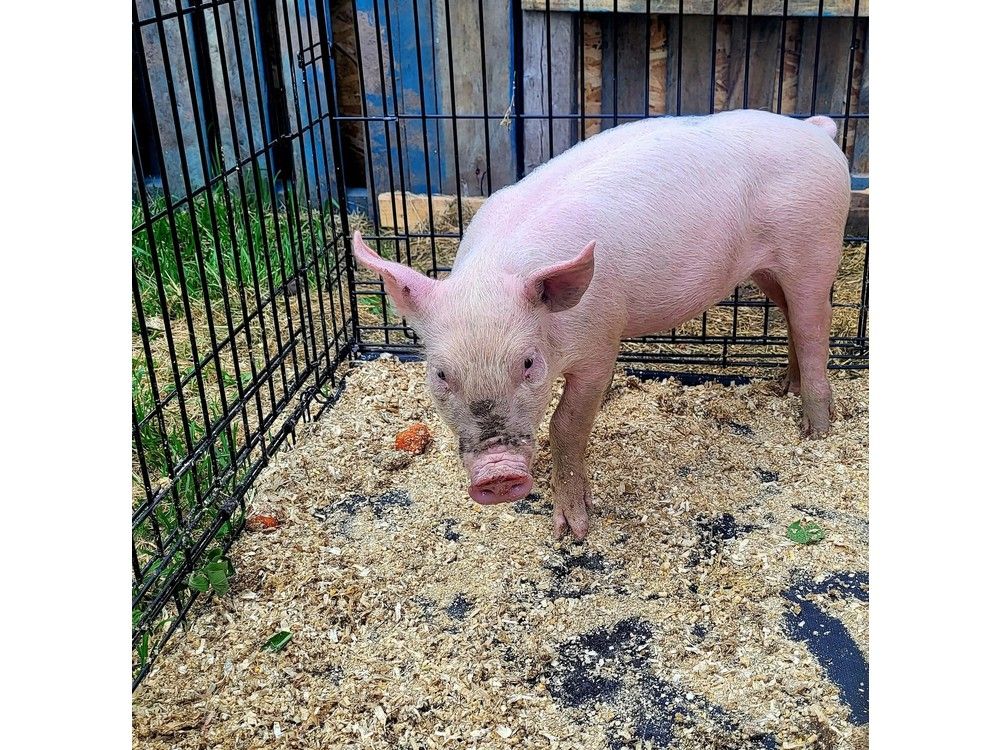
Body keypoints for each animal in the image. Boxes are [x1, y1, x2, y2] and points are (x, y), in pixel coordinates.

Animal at [352, 109, 850, 540]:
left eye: (529, 363)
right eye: (440, 374)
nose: (497, 473)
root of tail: (815, 131)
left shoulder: (600, 341)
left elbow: (565, 426)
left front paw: (574, 531)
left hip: (815, 245)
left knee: (813, 325)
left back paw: (815, 431)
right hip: (768, 269)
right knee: (790, 317)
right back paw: (783, 388)